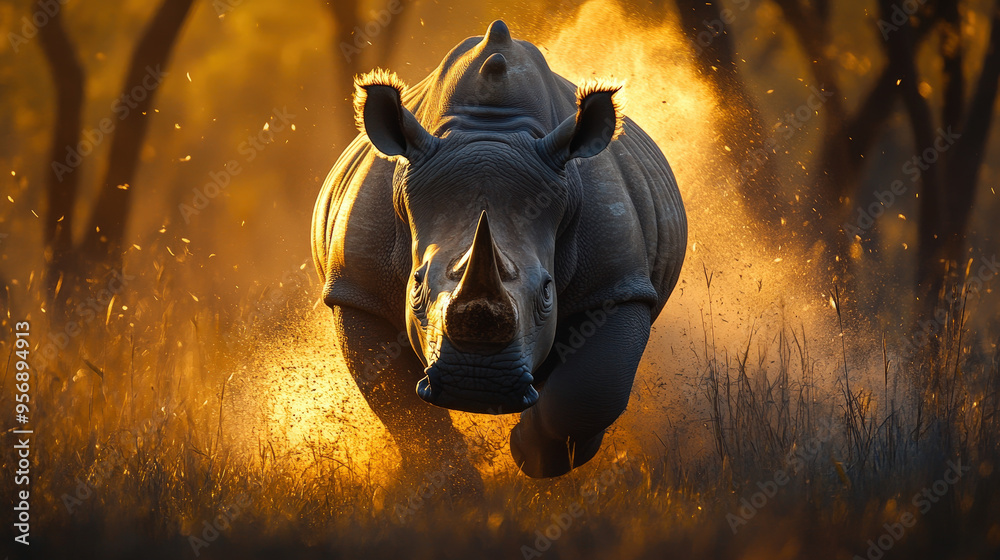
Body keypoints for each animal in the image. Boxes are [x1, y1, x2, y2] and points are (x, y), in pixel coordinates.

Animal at [312, 20, 686, 479]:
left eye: (547, 291)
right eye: (415, 286)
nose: (477, 383)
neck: (489, 132)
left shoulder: (618, 285)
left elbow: (593, 390)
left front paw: (534, 455)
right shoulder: (356, 289)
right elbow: (400, 407)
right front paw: (449, 479)